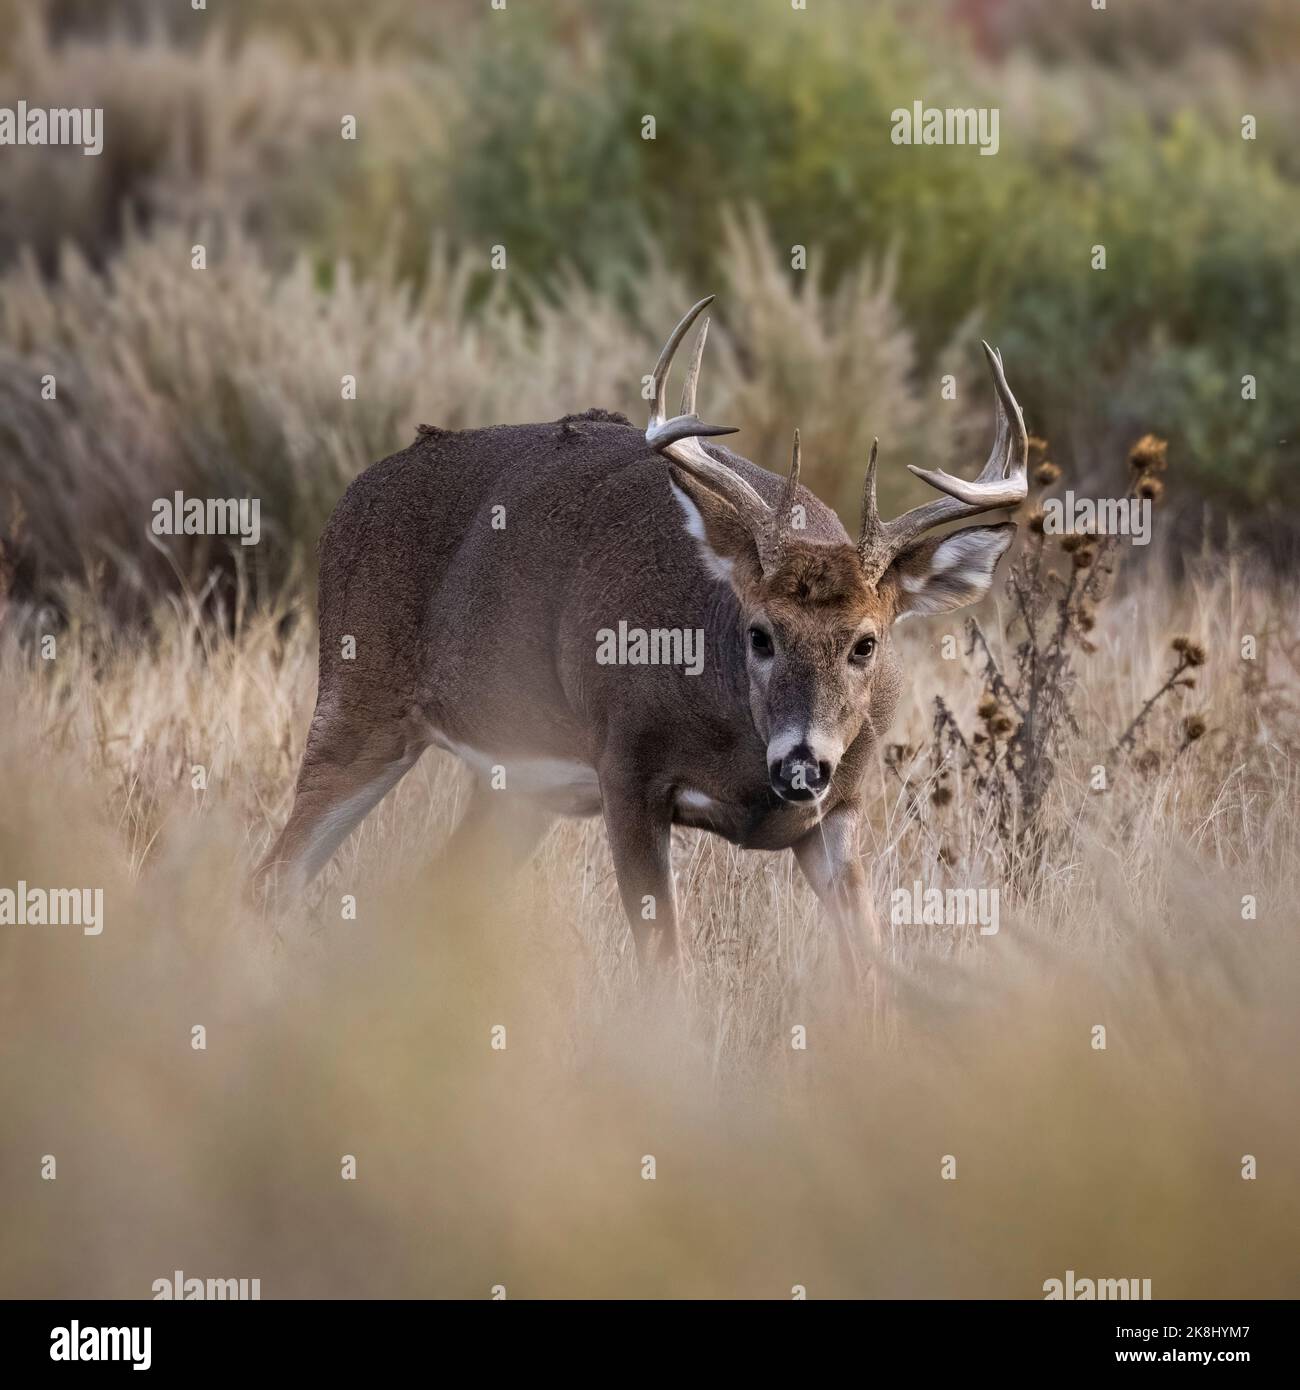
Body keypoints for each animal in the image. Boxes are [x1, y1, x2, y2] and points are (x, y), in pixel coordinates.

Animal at [256, 297, 1027, 971]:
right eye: (760, 634)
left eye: (865, 642)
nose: (801, 765)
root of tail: (349, 499)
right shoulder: (626, 770)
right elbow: (665, 970)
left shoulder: (840, 812)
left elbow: (868, 966)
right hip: (357, 700)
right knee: (271, 877)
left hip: (513, 787)